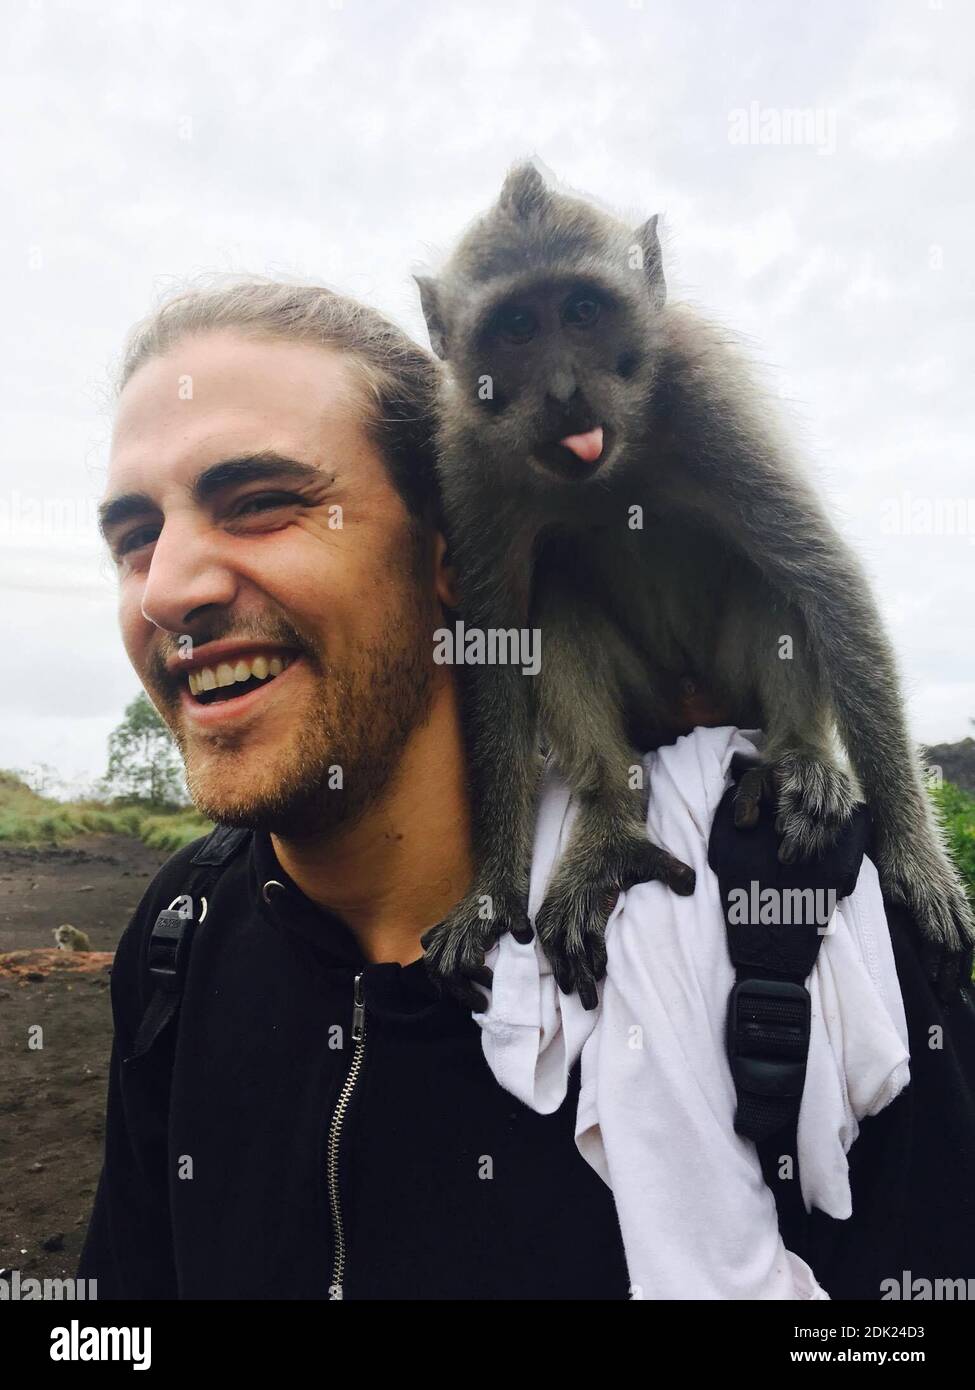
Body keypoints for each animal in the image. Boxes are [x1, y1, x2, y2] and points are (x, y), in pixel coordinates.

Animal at [413, 160, 975, 1012]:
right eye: (516, 328)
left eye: (581, 312)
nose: (565, 390)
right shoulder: (471, 458)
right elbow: (497, 644)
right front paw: (489, 891)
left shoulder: (704, 391)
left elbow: (824, 577)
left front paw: (914, 859)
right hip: (650, 703)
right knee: (555, 597)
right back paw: (612, 821)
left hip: (725, 688)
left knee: (773, 578)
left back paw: (798, 761)